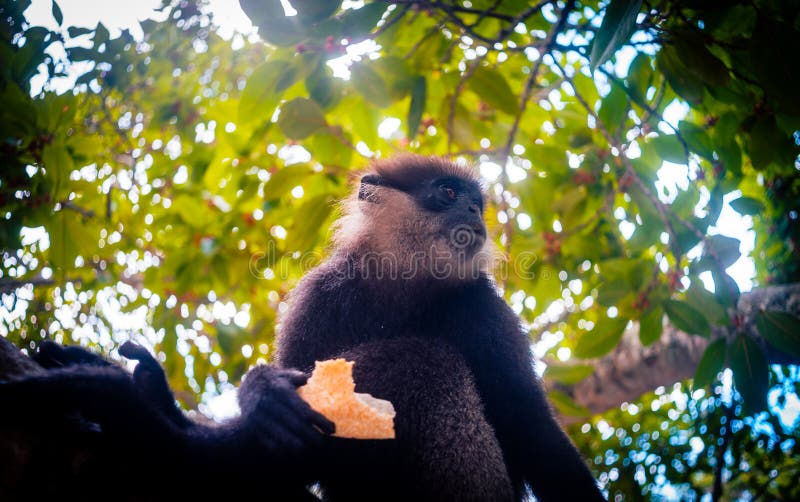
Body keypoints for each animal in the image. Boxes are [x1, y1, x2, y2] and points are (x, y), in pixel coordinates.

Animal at [275, 155, 606, 501]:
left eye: (477, 204)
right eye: (448, 192)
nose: (473, 210)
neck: (409, 287)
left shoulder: (484, 306)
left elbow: (530, 421)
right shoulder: (318, 296)